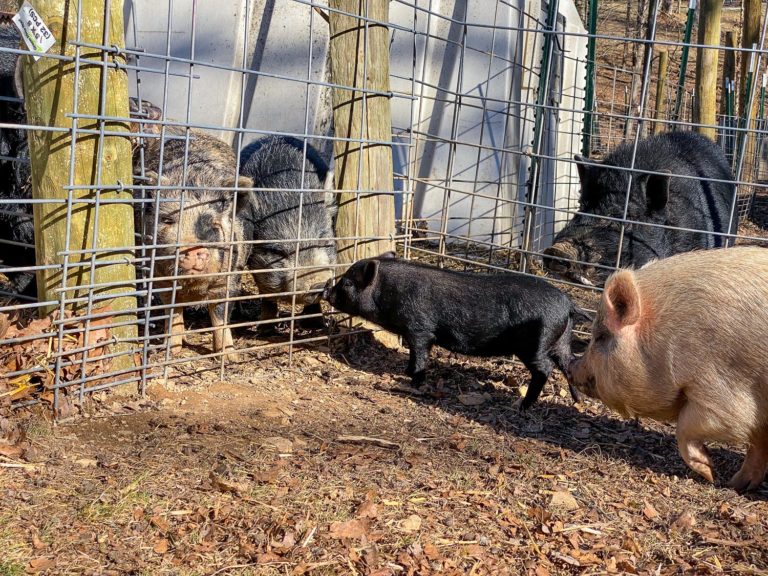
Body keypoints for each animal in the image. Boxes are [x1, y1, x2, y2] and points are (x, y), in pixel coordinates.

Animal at [136, 128, 253, 359]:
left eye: (214, 223)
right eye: (167, 220)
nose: (192, 248)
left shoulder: (229, 279)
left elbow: (220, 317)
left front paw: (229, 357)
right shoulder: (161, 279)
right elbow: (173, 314)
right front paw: (171, 353)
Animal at [239, 136, 337, 330]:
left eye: (322, 239)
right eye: (278, 252)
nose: (318, 282)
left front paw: (315, 325)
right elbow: (266, 293)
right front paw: (266, 328)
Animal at [323, 253, 590, 409]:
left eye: (347, 282)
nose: (325, 291)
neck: (389, 291)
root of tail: (568, 304)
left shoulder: (420, 329)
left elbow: (420, 355)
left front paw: (413, 380)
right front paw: (406, 372)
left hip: (536, 343)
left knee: (545, 368)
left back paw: (523, 406)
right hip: (562, 339)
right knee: (569, 363)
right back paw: (578, 401)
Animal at [568, 246, 768, 492]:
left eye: (601, 337)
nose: (571, 365)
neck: (663, 339)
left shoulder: (722, 389)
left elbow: (690, 425)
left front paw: (710, 474)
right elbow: (758, 445)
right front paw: (736, 485)